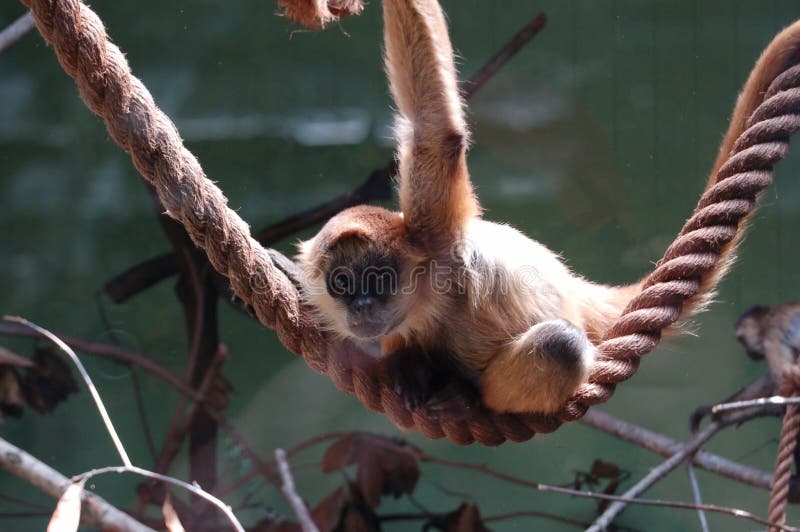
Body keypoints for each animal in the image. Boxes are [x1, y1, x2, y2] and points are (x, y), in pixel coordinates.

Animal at [297, 0, 800, 415]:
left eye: (377, 280)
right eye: (342, 284)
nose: (361, 305)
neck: (425, 302)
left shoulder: (436, 231)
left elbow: (436, 131)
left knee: (563, 344)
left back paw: (464, 394)